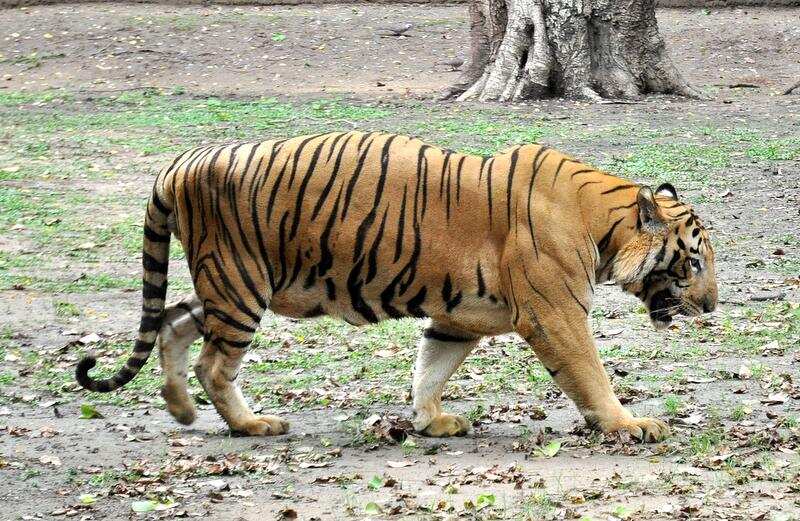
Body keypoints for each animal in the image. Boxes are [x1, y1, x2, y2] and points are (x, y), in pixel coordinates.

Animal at [76, 131, 717, 441]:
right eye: (693, 262)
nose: (712, 306)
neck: (604, 226)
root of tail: (177, 163)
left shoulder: (459, 314)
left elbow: (430, 368)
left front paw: (431, 422)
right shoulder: (554, 313)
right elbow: (591, 374)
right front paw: (629, 424)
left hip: (227, 286)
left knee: (172, 323)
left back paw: (181, 409)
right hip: (239, 283)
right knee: (213, 362)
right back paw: (251, 425)